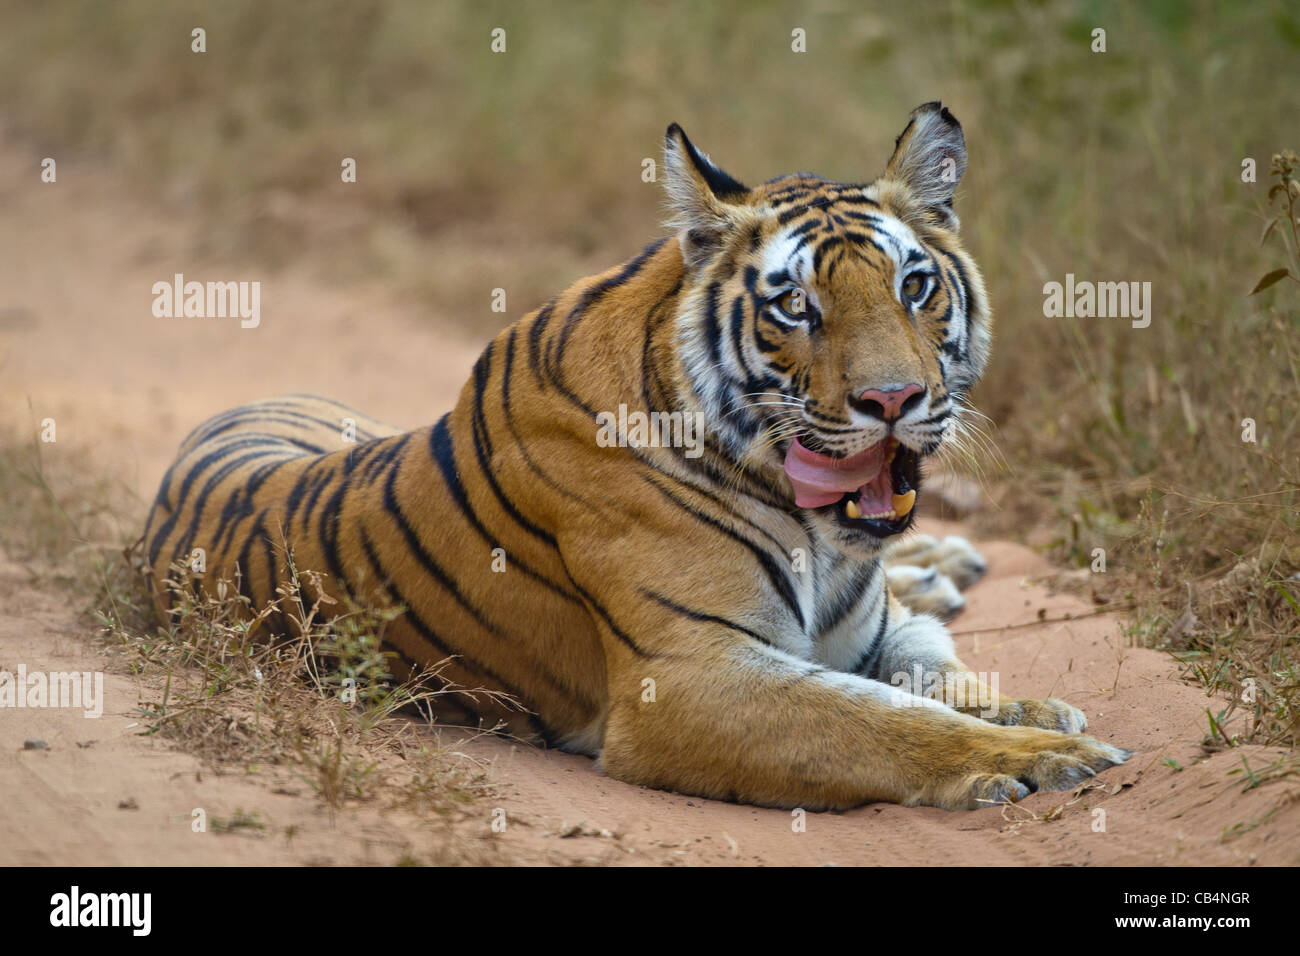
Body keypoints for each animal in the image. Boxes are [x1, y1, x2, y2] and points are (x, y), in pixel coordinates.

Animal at [142, 103, 1130, 811]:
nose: (894, 402)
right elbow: (885, 722)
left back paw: (946, 563)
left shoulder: (869, 629)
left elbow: (932, 669)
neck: (820, 532)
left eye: (915, 286)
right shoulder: (689, 679)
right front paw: (1050, 754)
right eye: (796, 306)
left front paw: (1033, 705)